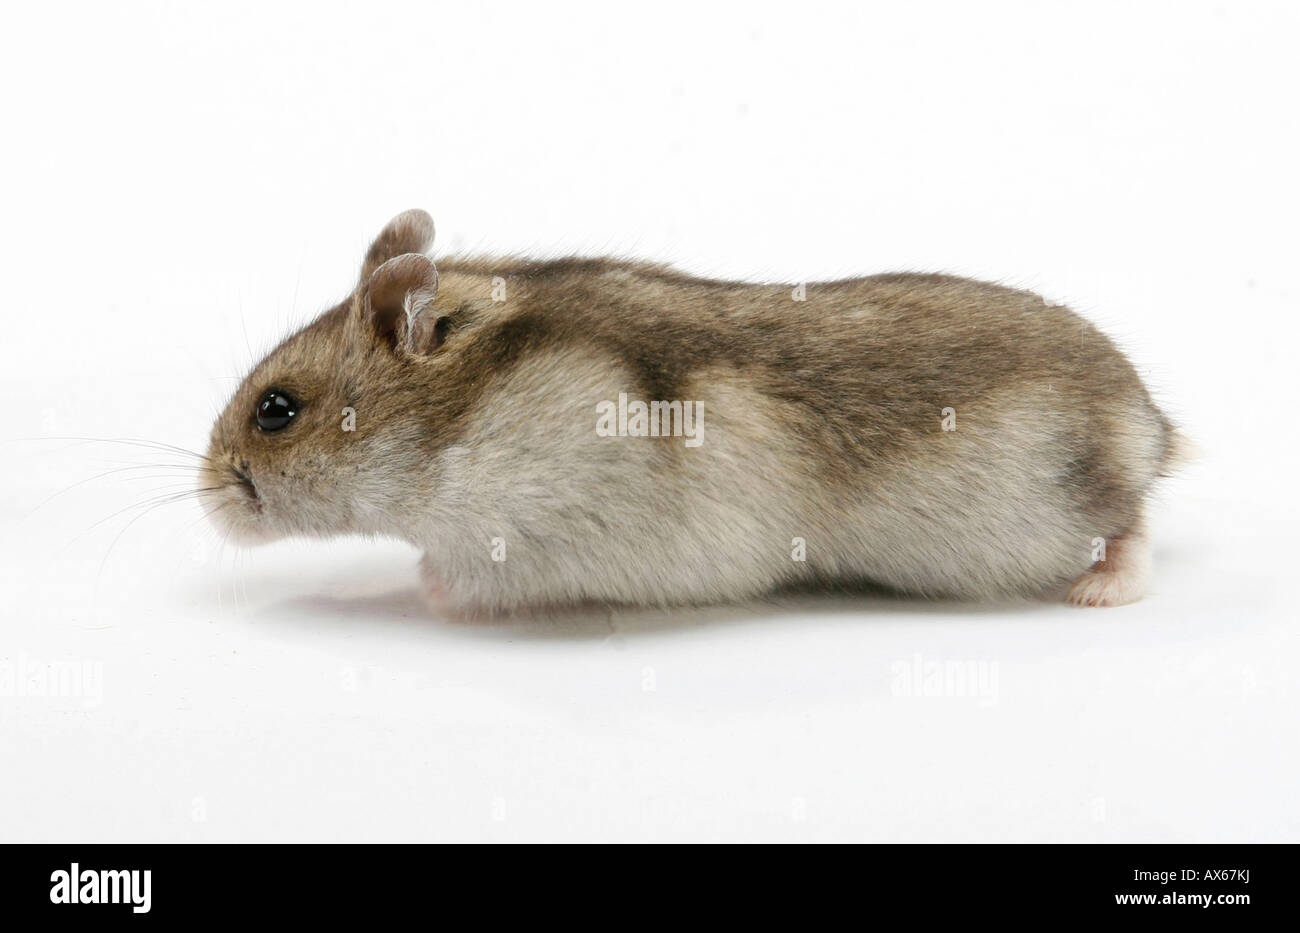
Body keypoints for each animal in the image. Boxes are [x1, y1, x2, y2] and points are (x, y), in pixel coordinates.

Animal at [200, 208, 1187, 615]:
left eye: (276, 410)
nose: (208, 498)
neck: (457, 419)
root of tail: (1147, 418)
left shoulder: (542, 534)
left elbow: (462, 575)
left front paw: (419, 584)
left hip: (1057, 505)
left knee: (1132, 524)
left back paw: (1098, 591)